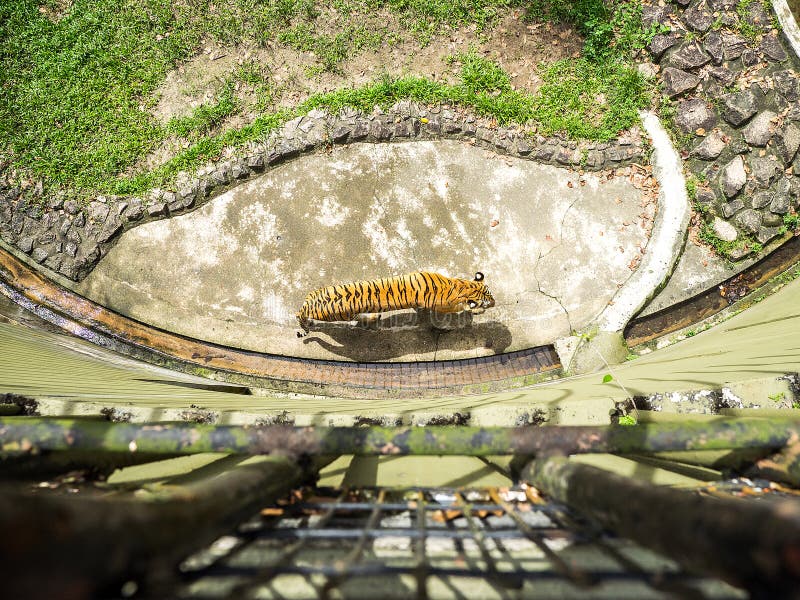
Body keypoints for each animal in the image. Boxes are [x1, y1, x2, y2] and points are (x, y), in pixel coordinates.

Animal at [296, 271, 495, 337]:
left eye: (490, 292)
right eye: (487, 302)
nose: (494, 303)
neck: (460, 286)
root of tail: (307, 306)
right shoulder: (445, 306)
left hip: (313, 293)